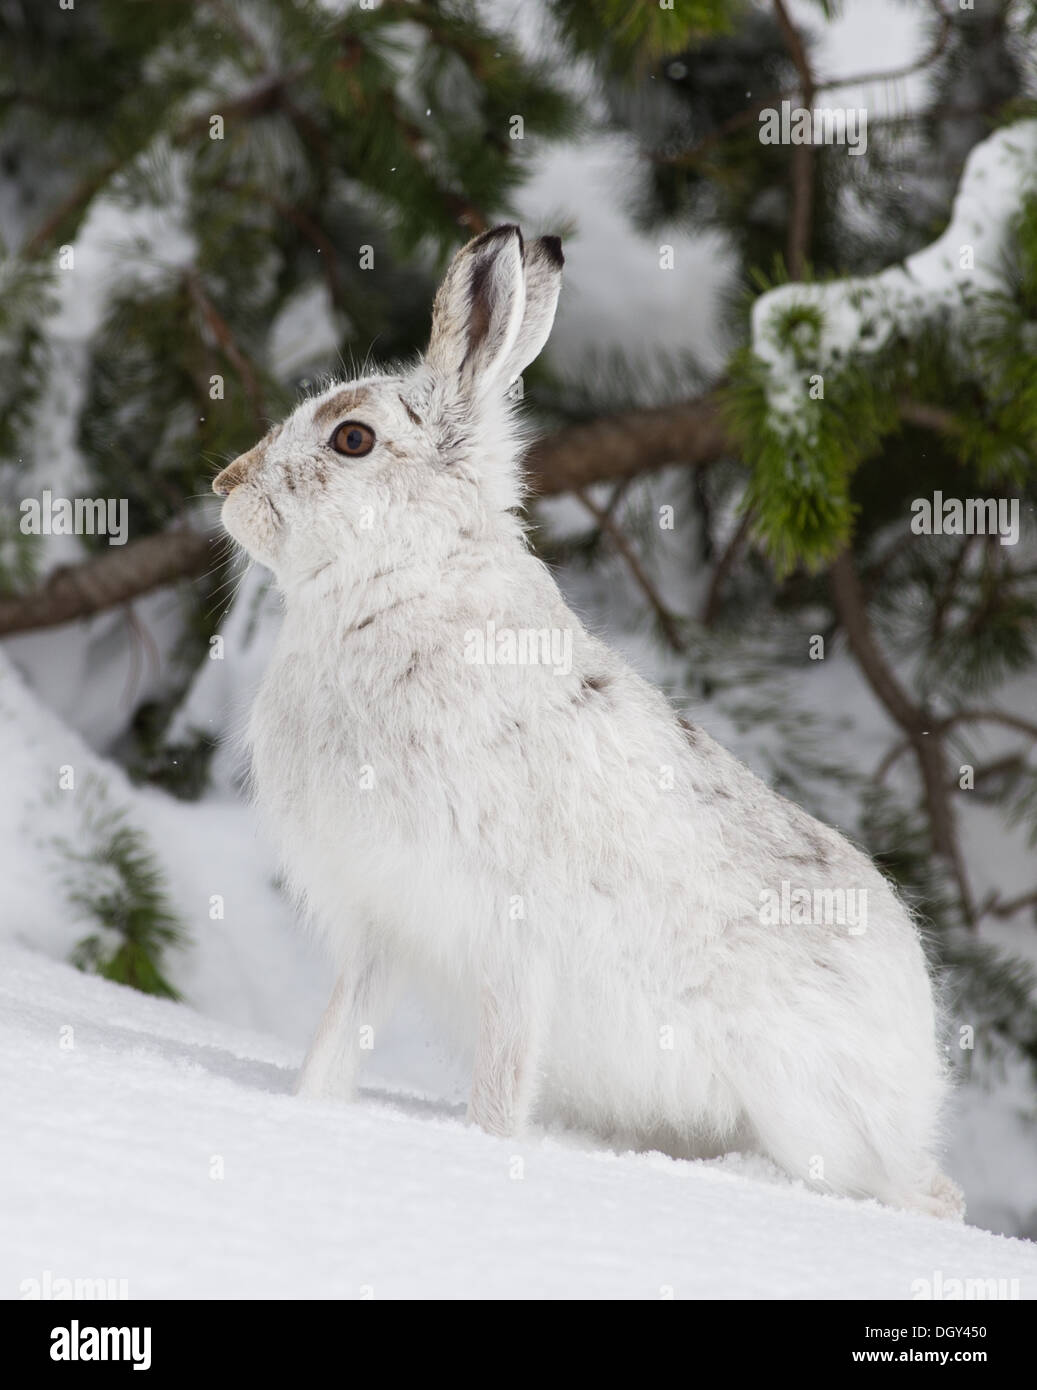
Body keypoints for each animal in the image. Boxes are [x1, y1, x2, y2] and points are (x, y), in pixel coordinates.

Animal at [213, 224, 964, 1220]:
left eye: (351, 438)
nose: (225, 484)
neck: (403, 589)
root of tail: (920, 1071)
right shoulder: (385, 925)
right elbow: (340, 1035)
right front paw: (308, 1111)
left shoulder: (513, 940)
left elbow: (501, 1084)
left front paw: (486, 1156)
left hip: (809, 1111)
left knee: (921, 1195)